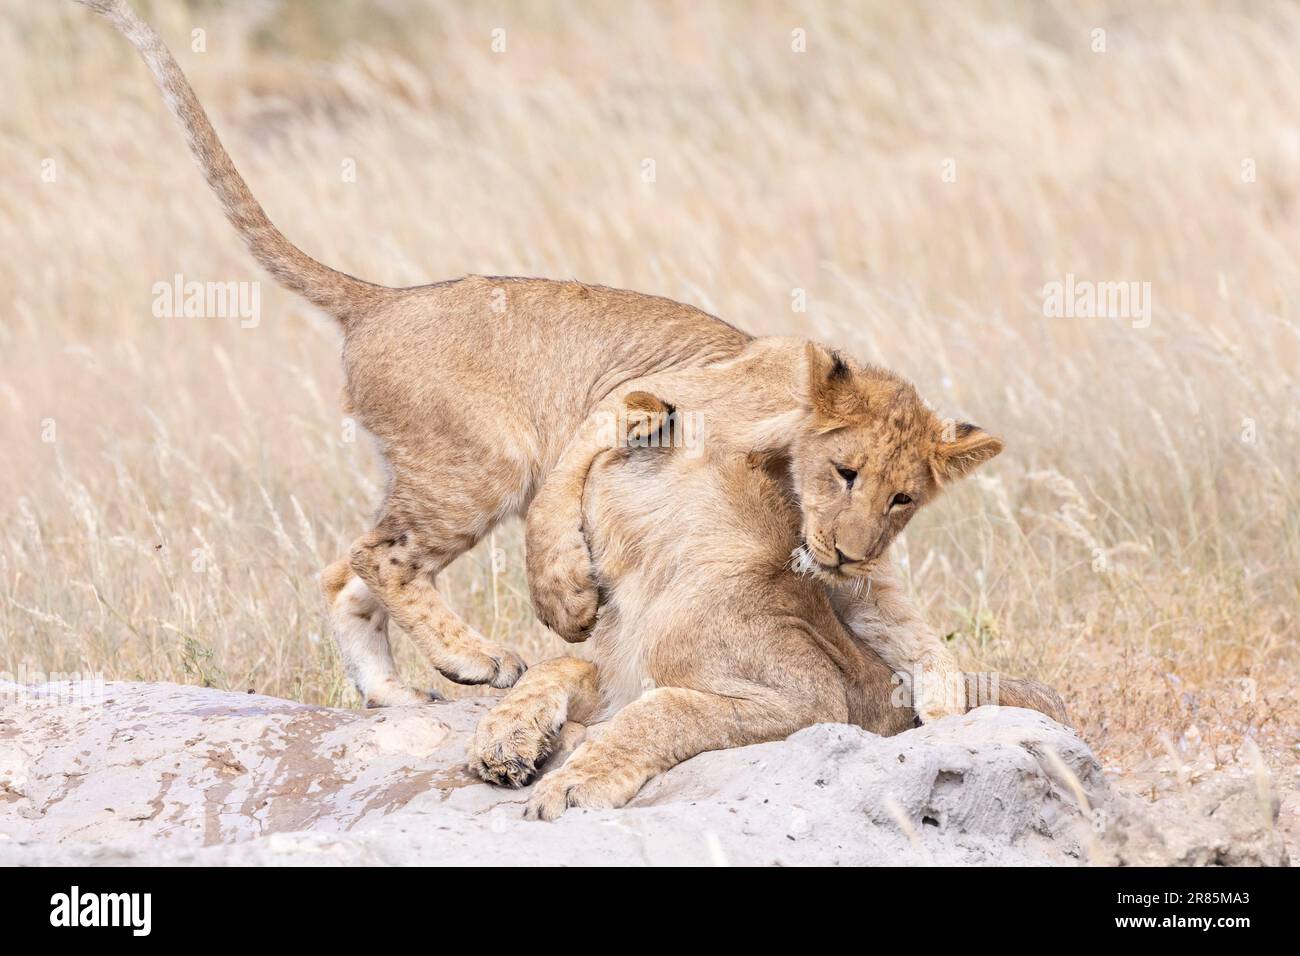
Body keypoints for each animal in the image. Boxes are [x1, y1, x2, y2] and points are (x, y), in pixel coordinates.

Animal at [75, 0, 998, 708]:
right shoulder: (655, 393)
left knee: (345, 572)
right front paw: (566, 600)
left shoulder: (852, 562)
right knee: (378, 556)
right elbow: (570, 483)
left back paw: (394, 694)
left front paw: (946, 701)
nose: (847, 549)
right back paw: (474, 659)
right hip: (480, 464)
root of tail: (383, 297)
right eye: (846, 472)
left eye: (903, 499)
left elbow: (905, 620)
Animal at [469, 392, 1068, 819]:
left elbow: (662, 713)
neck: (654, 564)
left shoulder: (812, 703)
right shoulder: (621, 678)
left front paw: (571, 784)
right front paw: (504, 741)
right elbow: (556, 666)